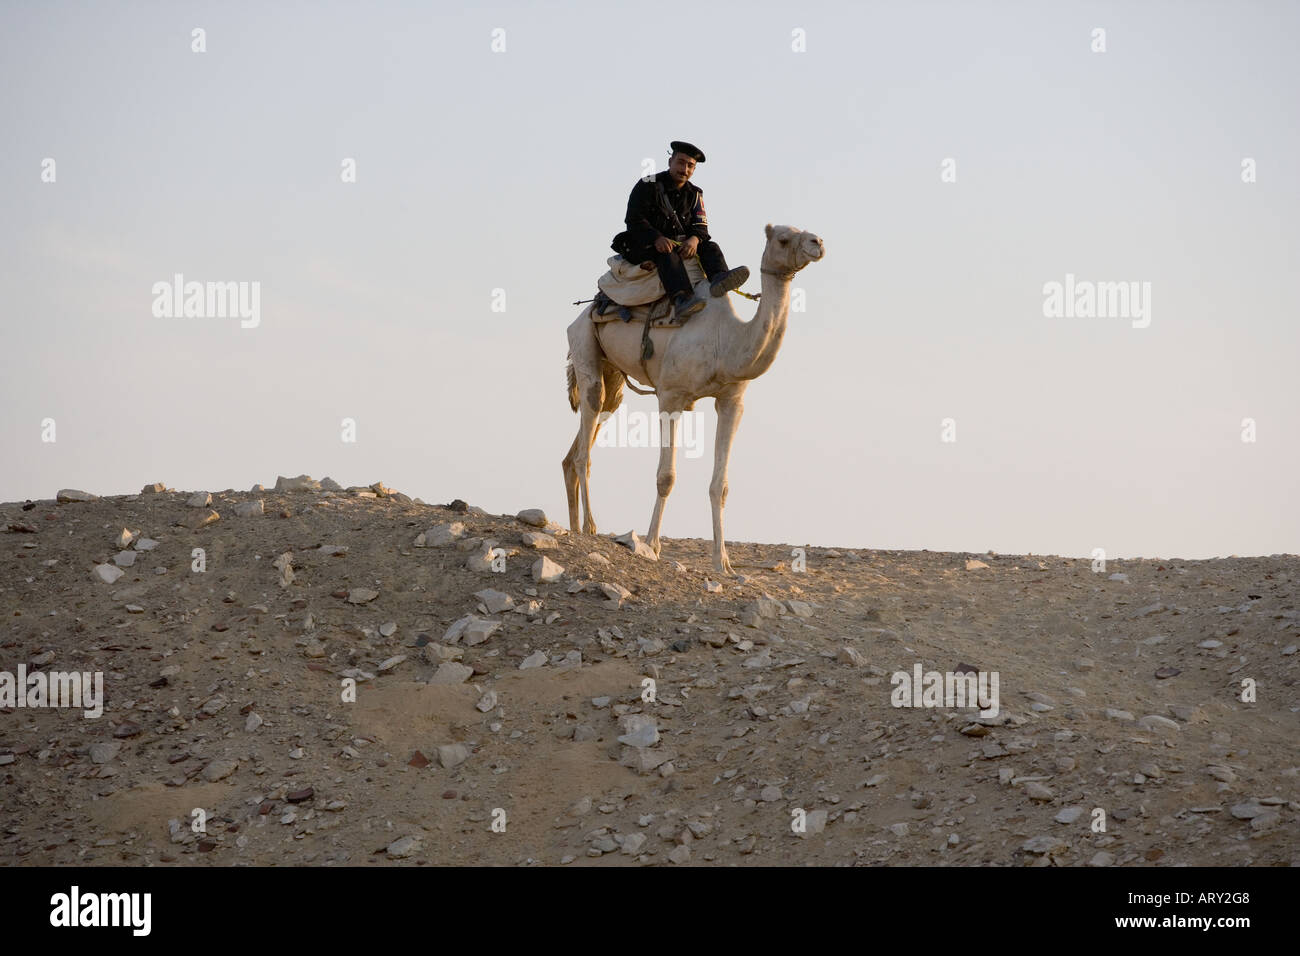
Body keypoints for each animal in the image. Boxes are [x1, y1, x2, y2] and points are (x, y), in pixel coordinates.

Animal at [562, 223, 825, 575]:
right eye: (783, 238)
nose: (817, 242)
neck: (726, 342)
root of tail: (588, 308)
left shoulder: (731, 399)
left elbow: (720, 485)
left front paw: (723, 563)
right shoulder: (671, 396)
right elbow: (666, 477)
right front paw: (652, 545)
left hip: (611, 374)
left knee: (585, 436)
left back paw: (575, 527)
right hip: (584, 345)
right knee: (586, 441)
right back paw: (590, 527)